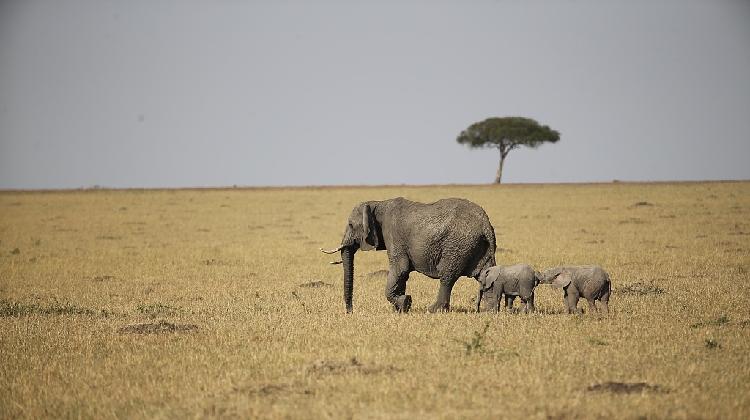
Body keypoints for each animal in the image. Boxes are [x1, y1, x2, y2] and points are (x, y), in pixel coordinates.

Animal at [321, 197, 496, 313]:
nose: (350, 312)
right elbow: (402, 275)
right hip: (479, 246)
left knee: (447, 277)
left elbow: (400, 269)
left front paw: (406, 303)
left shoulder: (392, 234)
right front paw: (399, 309)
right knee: (485, 275)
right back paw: (490, 311)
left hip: (457, 246)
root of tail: (485, 224)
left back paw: (433, 310)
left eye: (351, 225)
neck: (378, 203)